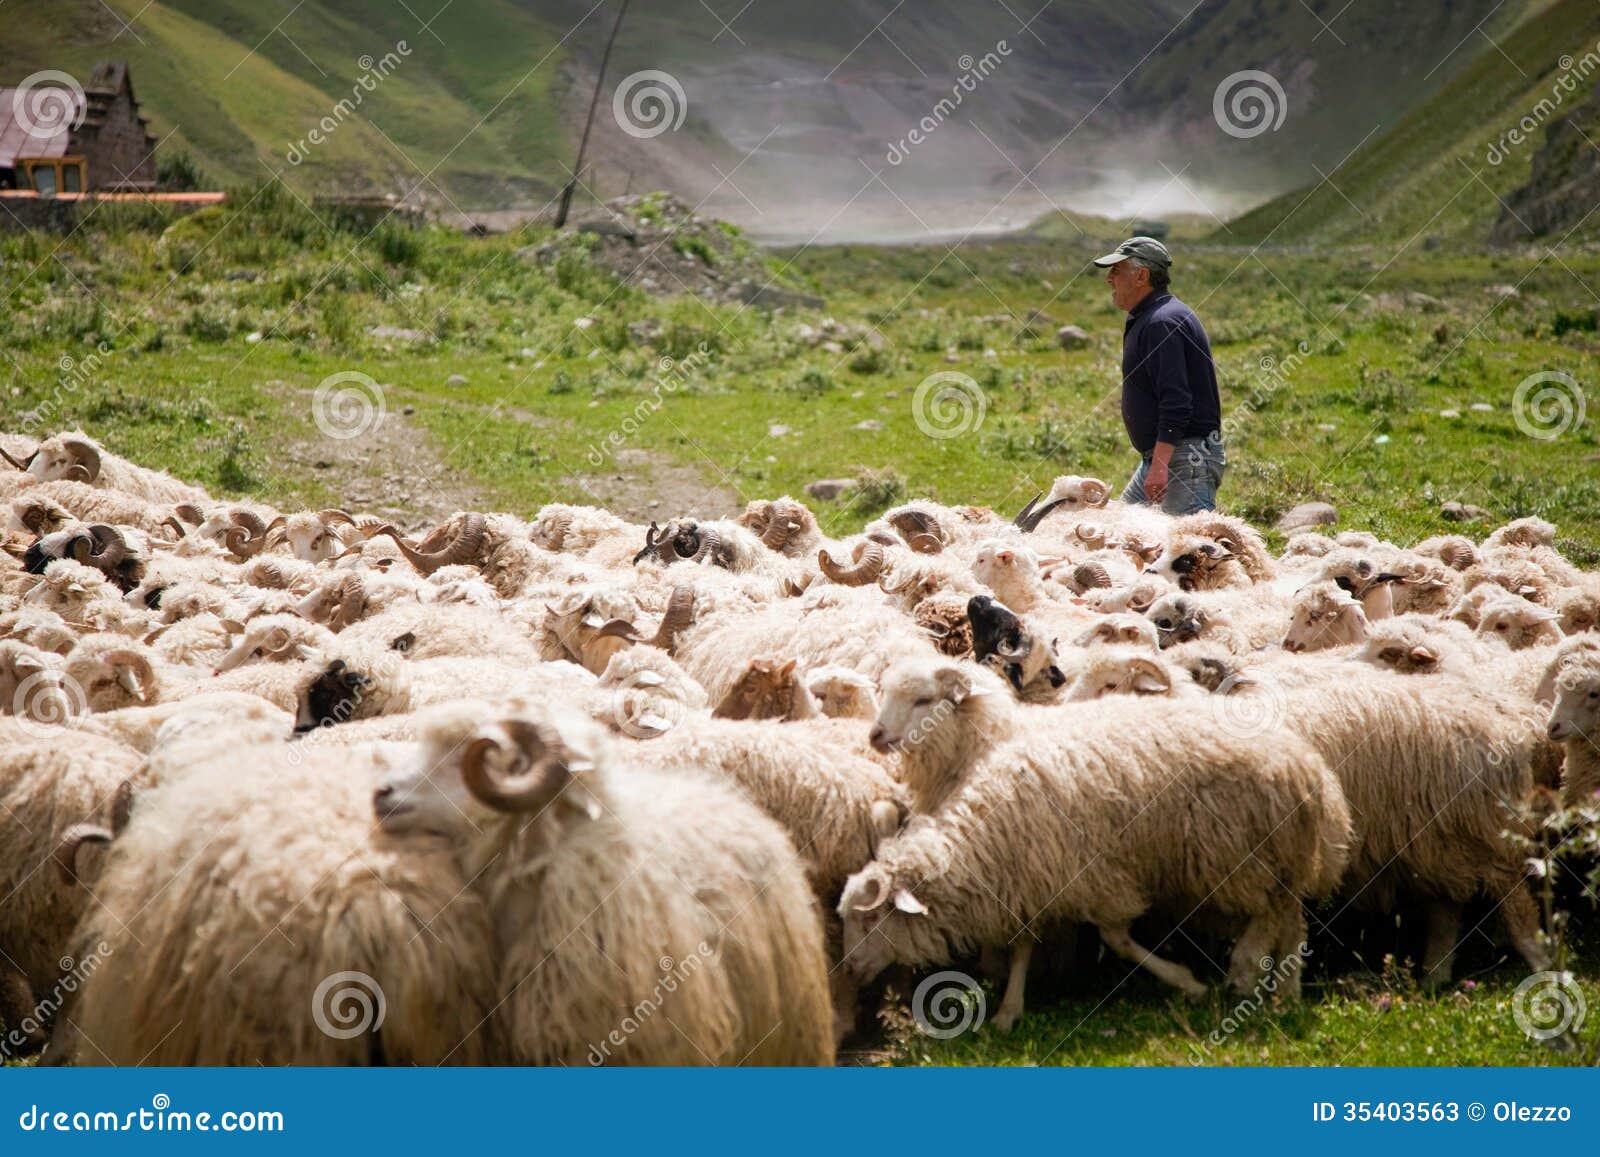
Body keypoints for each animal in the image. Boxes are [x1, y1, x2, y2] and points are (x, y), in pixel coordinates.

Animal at [843, 686, 1350, 1026]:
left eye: (870, 919)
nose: (848, 969)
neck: (987, 838)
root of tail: (1309, 767)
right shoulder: (1036, 880)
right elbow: (1026, 945)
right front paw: (1009, 1011)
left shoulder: (1096, 878)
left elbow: (1116, 939)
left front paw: (1187, 982)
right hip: (1275, 856)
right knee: (1292, 918)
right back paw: (1286, 994)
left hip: (1243, 855)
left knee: (1272, 912)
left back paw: (1246, 971)